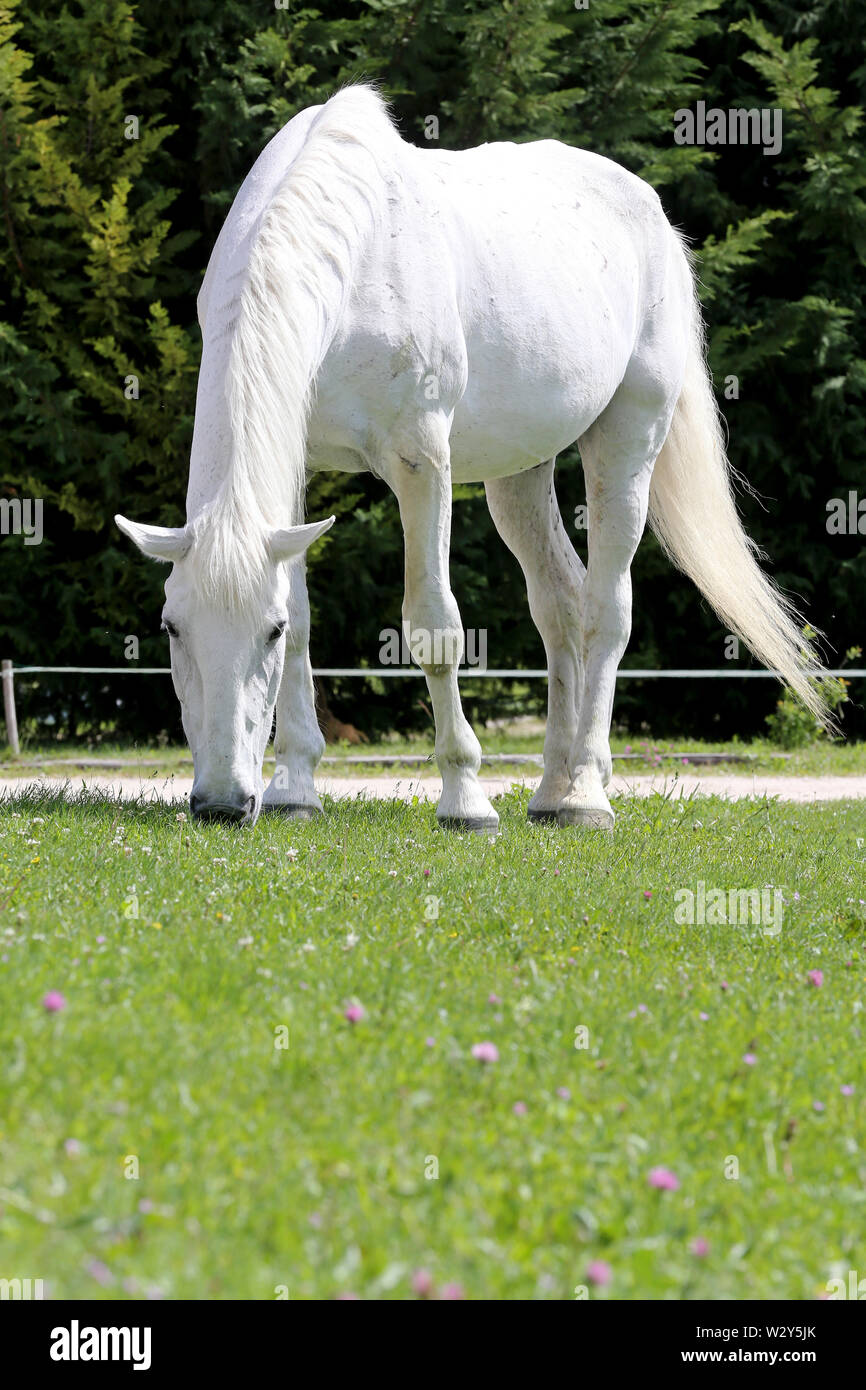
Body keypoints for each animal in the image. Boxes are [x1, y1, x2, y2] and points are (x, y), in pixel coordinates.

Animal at [116, 84, 827, 831]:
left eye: (267, 633)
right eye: (171, 628)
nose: (223, 805)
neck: (356, 257)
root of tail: (651, 212)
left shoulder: (422, 459)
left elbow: (433, 624)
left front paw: (465, 797)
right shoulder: (296, 476)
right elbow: (313, 620)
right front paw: (296, 790)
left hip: (628, 440)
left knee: (606, 610)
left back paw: (588, 792)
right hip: (520, 475)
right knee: (561, 605)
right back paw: (553, 792)